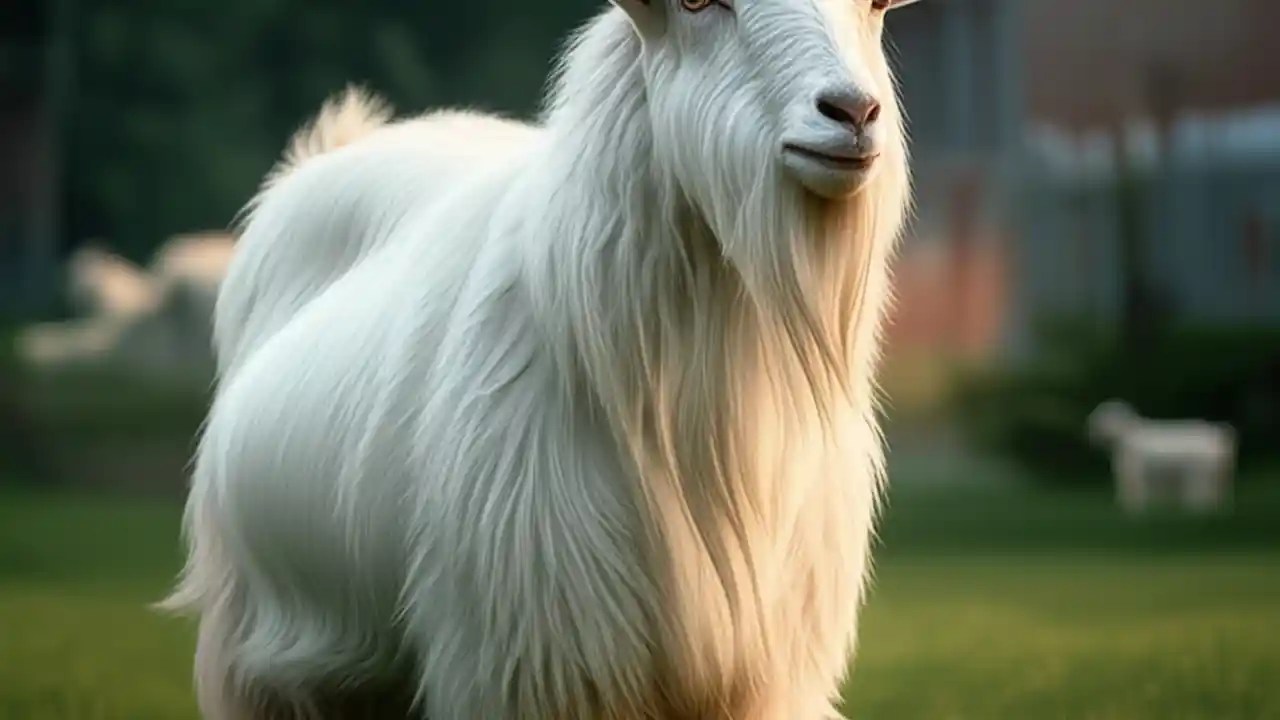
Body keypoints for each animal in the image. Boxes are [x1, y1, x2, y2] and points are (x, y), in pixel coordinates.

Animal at [165, 1, 920, 718]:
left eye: (875, 7)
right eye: (697, 3)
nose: (852, 113)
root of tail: (337, 148)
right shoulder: (530, 668)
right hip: (255, 660)